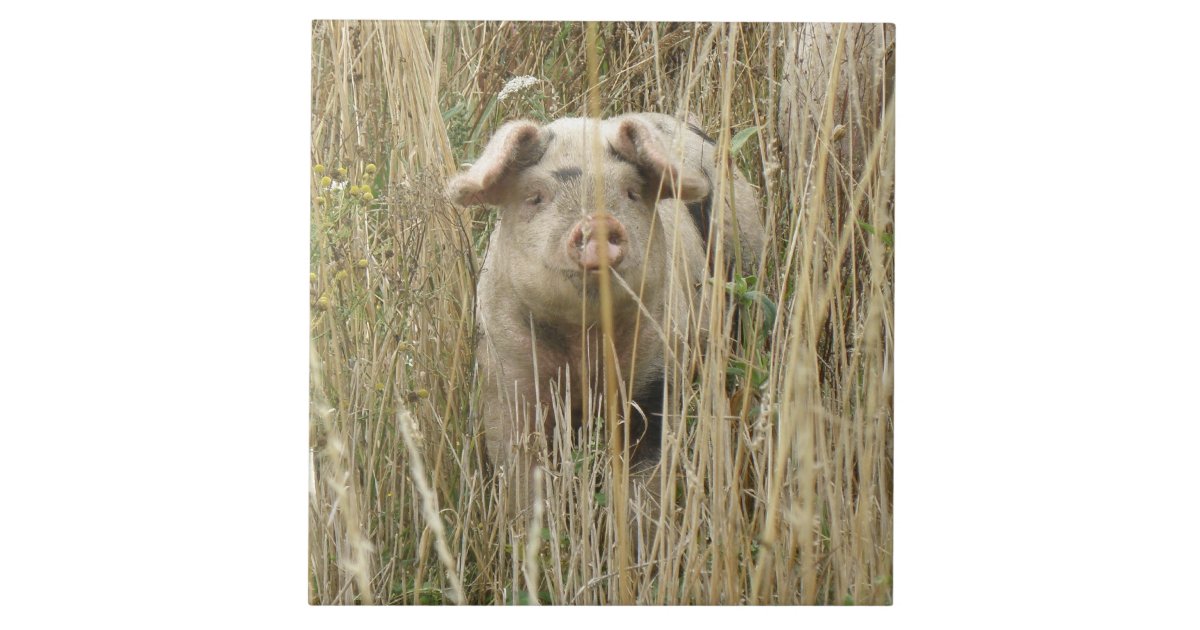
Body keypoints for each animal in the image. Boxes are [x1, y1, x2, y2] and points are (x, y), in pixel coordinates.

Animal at [447, 112, 764, 515]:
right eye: (535, 197)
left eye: (631, 192)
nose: (597, 222)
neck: (584, 344)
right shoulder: (506, 377)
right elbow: (522, 472)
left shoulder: (658, 374)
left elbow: (647, 480)